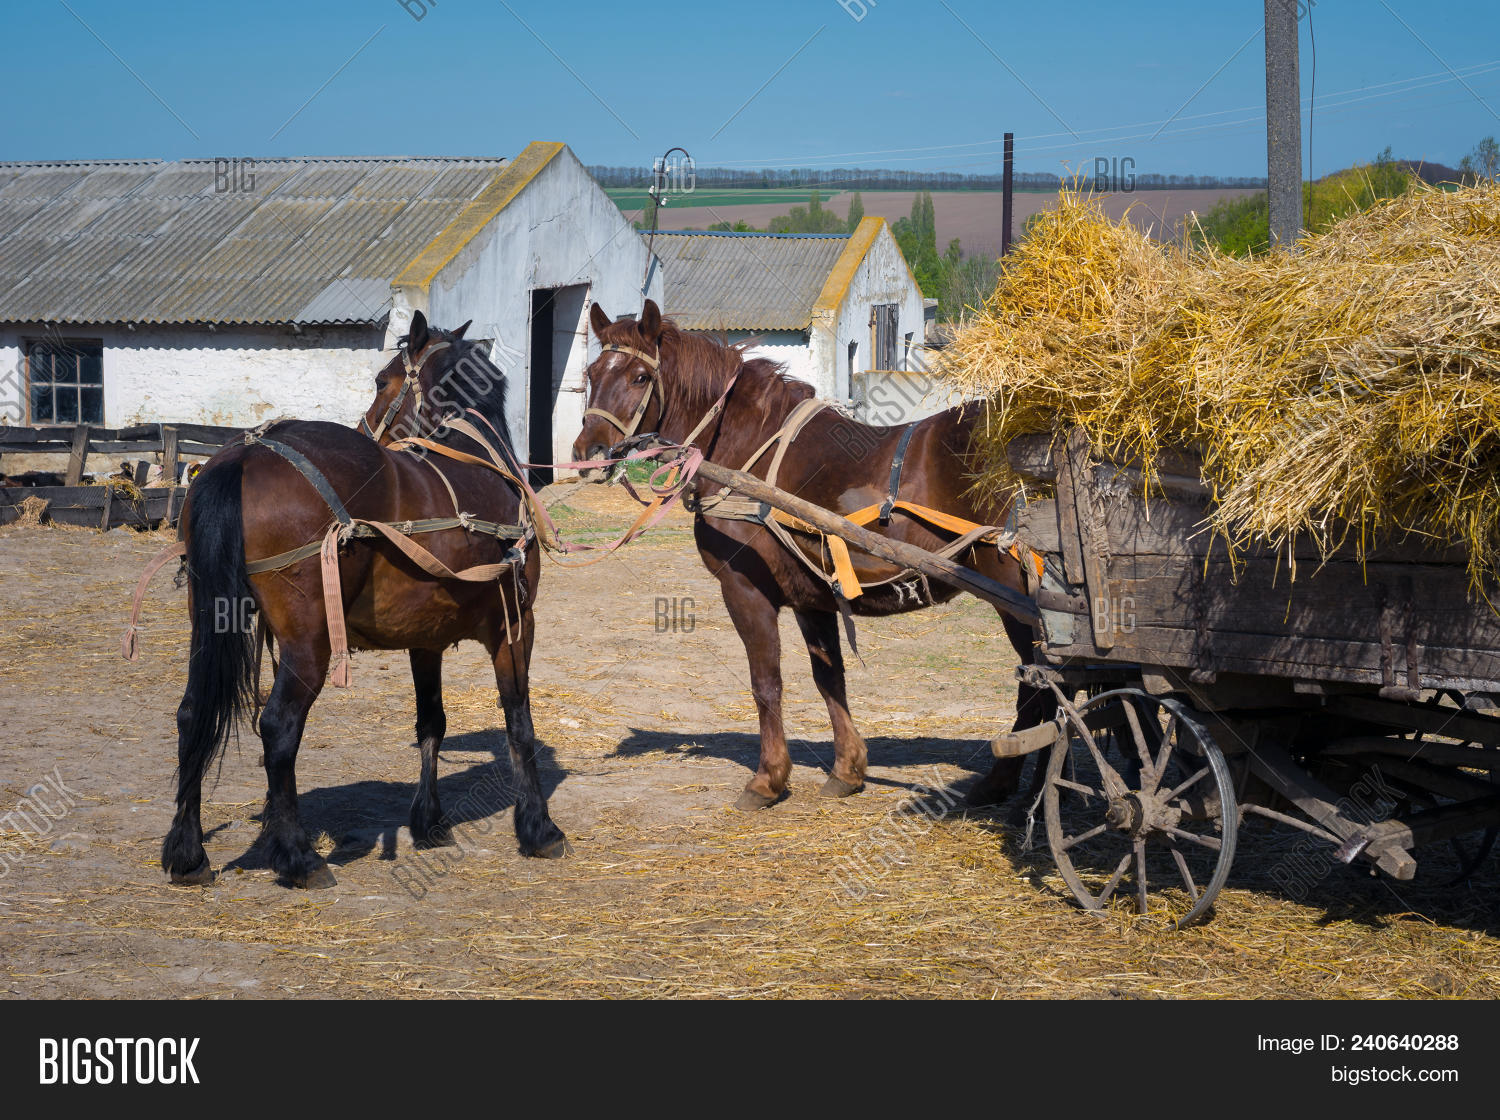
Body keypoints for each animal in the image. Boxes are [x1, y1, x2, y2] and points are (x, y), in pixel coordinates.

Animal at [159, 311, 567, 889]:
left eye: (379, 381)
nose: (364, 427)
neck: (475, 457)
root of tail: (245, 454)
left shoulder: (426, 640)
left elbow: (432, 723)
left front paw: (429, 822)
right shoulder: (516, 624)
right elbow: (519, 722)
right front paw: (538, 827)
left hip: (211, 623)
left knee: (193, 713)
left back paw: (188, 853)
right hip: (309, 644)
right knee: (278, 727)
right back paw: (298, 857)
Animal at [571, 299, 1052, 810]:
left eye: (641, 377)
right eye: (592, 373)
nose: (588, 452)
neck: (750, 454)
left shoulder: (746, 591)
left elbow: (766, 683)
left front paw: (767, 779)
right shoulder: (812, 598)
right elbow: (829, 679)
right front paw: (847, 769)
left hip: (1017, 603)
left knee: (1040, 687)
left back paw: (1008, 783)